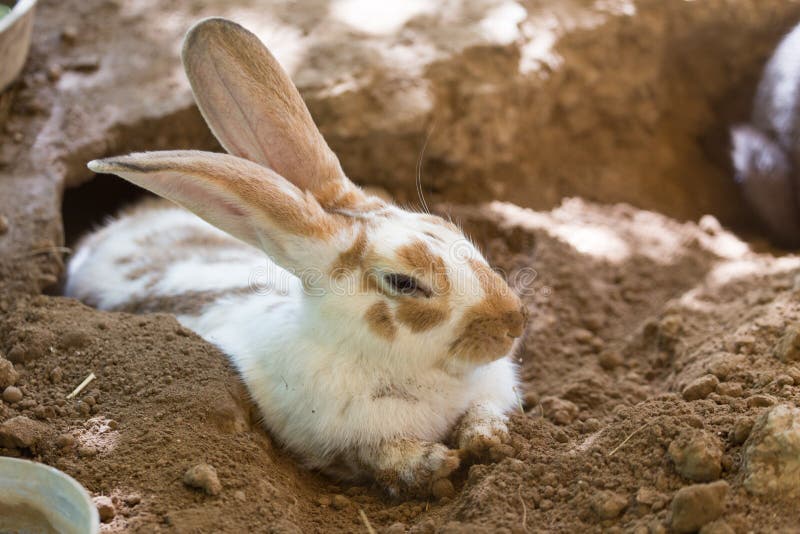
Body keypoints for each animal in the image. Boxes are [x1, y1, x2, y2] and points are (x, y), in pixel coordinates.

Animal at [65, 18, 528, 498]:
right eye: (404, 282)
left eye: (453, 231)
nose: (514, 322)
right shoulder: (341, 439)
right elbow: (384, 457)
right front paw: (434, 466)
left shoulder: (491, 388)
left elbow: (485, 410)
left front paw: (487, 439)